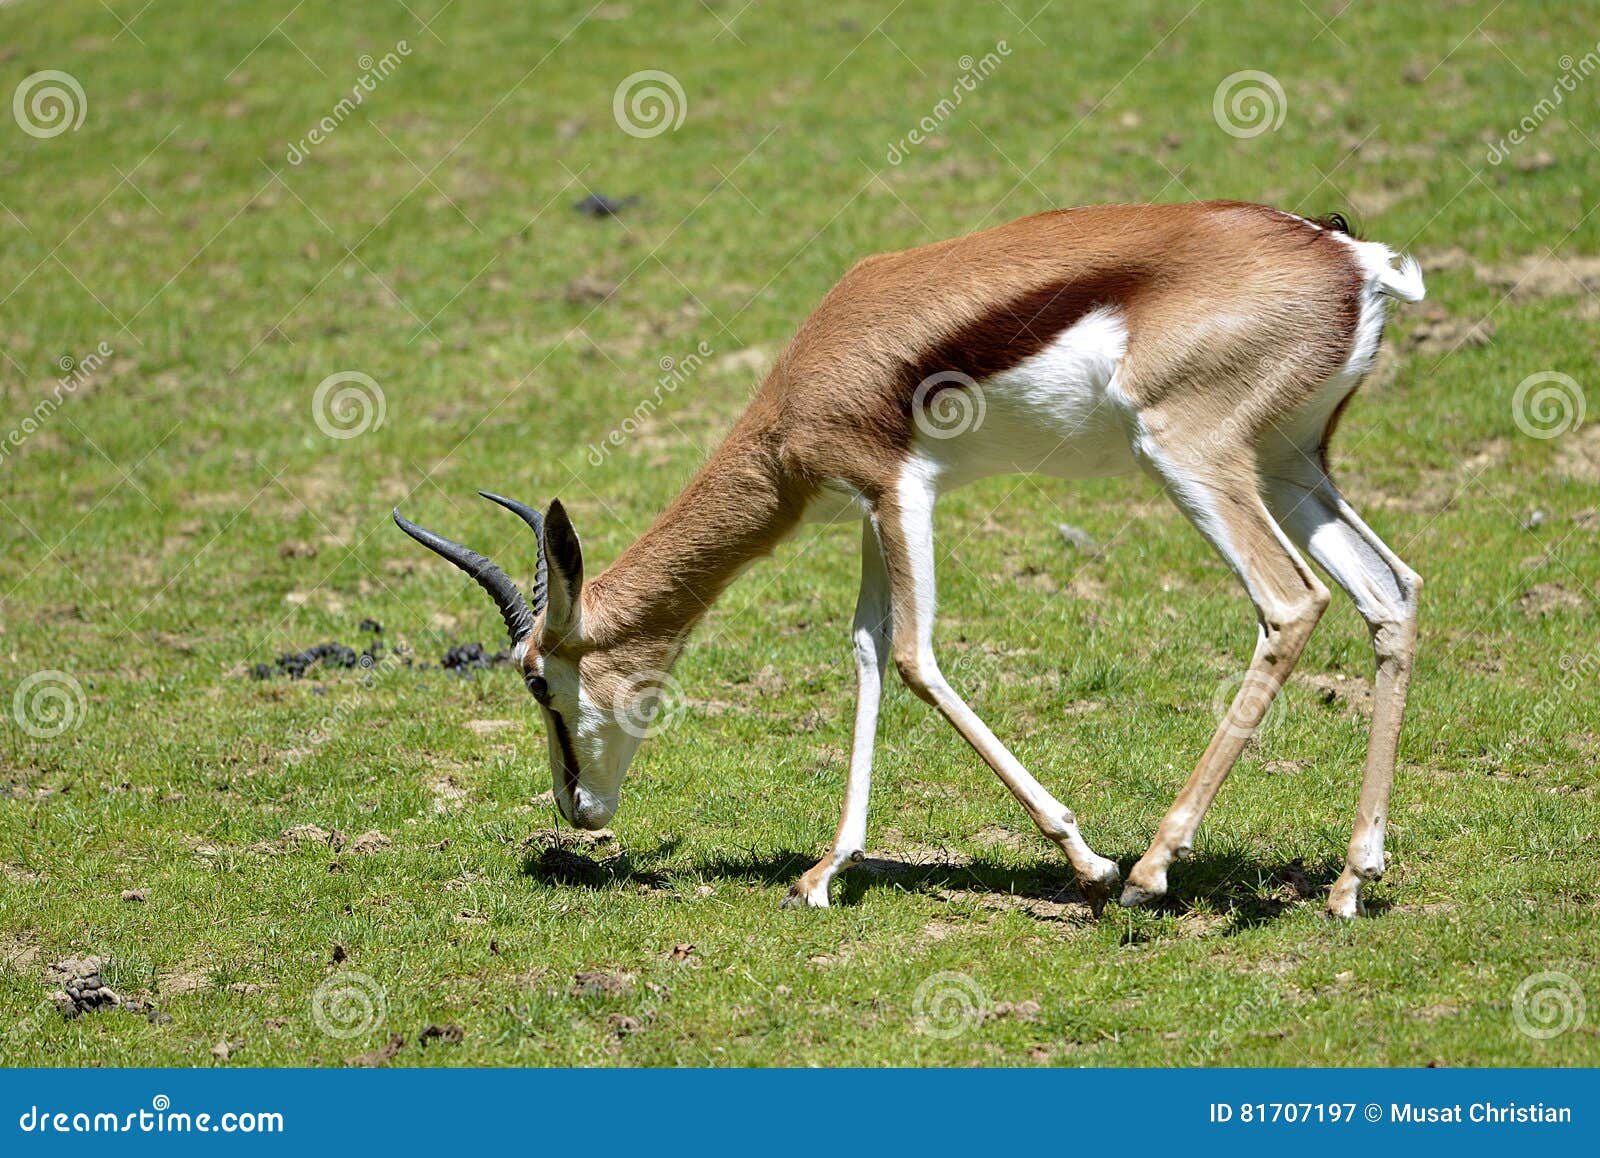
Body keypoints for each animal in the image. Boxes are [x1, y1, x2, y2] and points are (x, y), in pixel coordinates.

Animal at [396, 200, 1425, 919]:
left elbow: (914, 657)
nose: (576, 807)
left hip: (1189, 454)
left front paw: (1085, 860)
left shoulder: (902, 489)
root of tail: (1353, 259)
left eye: (538, 679)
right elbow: (861, 652)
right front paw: (824, 871)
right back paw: (1349, 884)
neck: (812, 370)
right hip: (1290, 464)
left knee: (1290, 605)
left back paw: (1148, 871)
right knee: (1393, 592)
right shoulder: (868, 510)